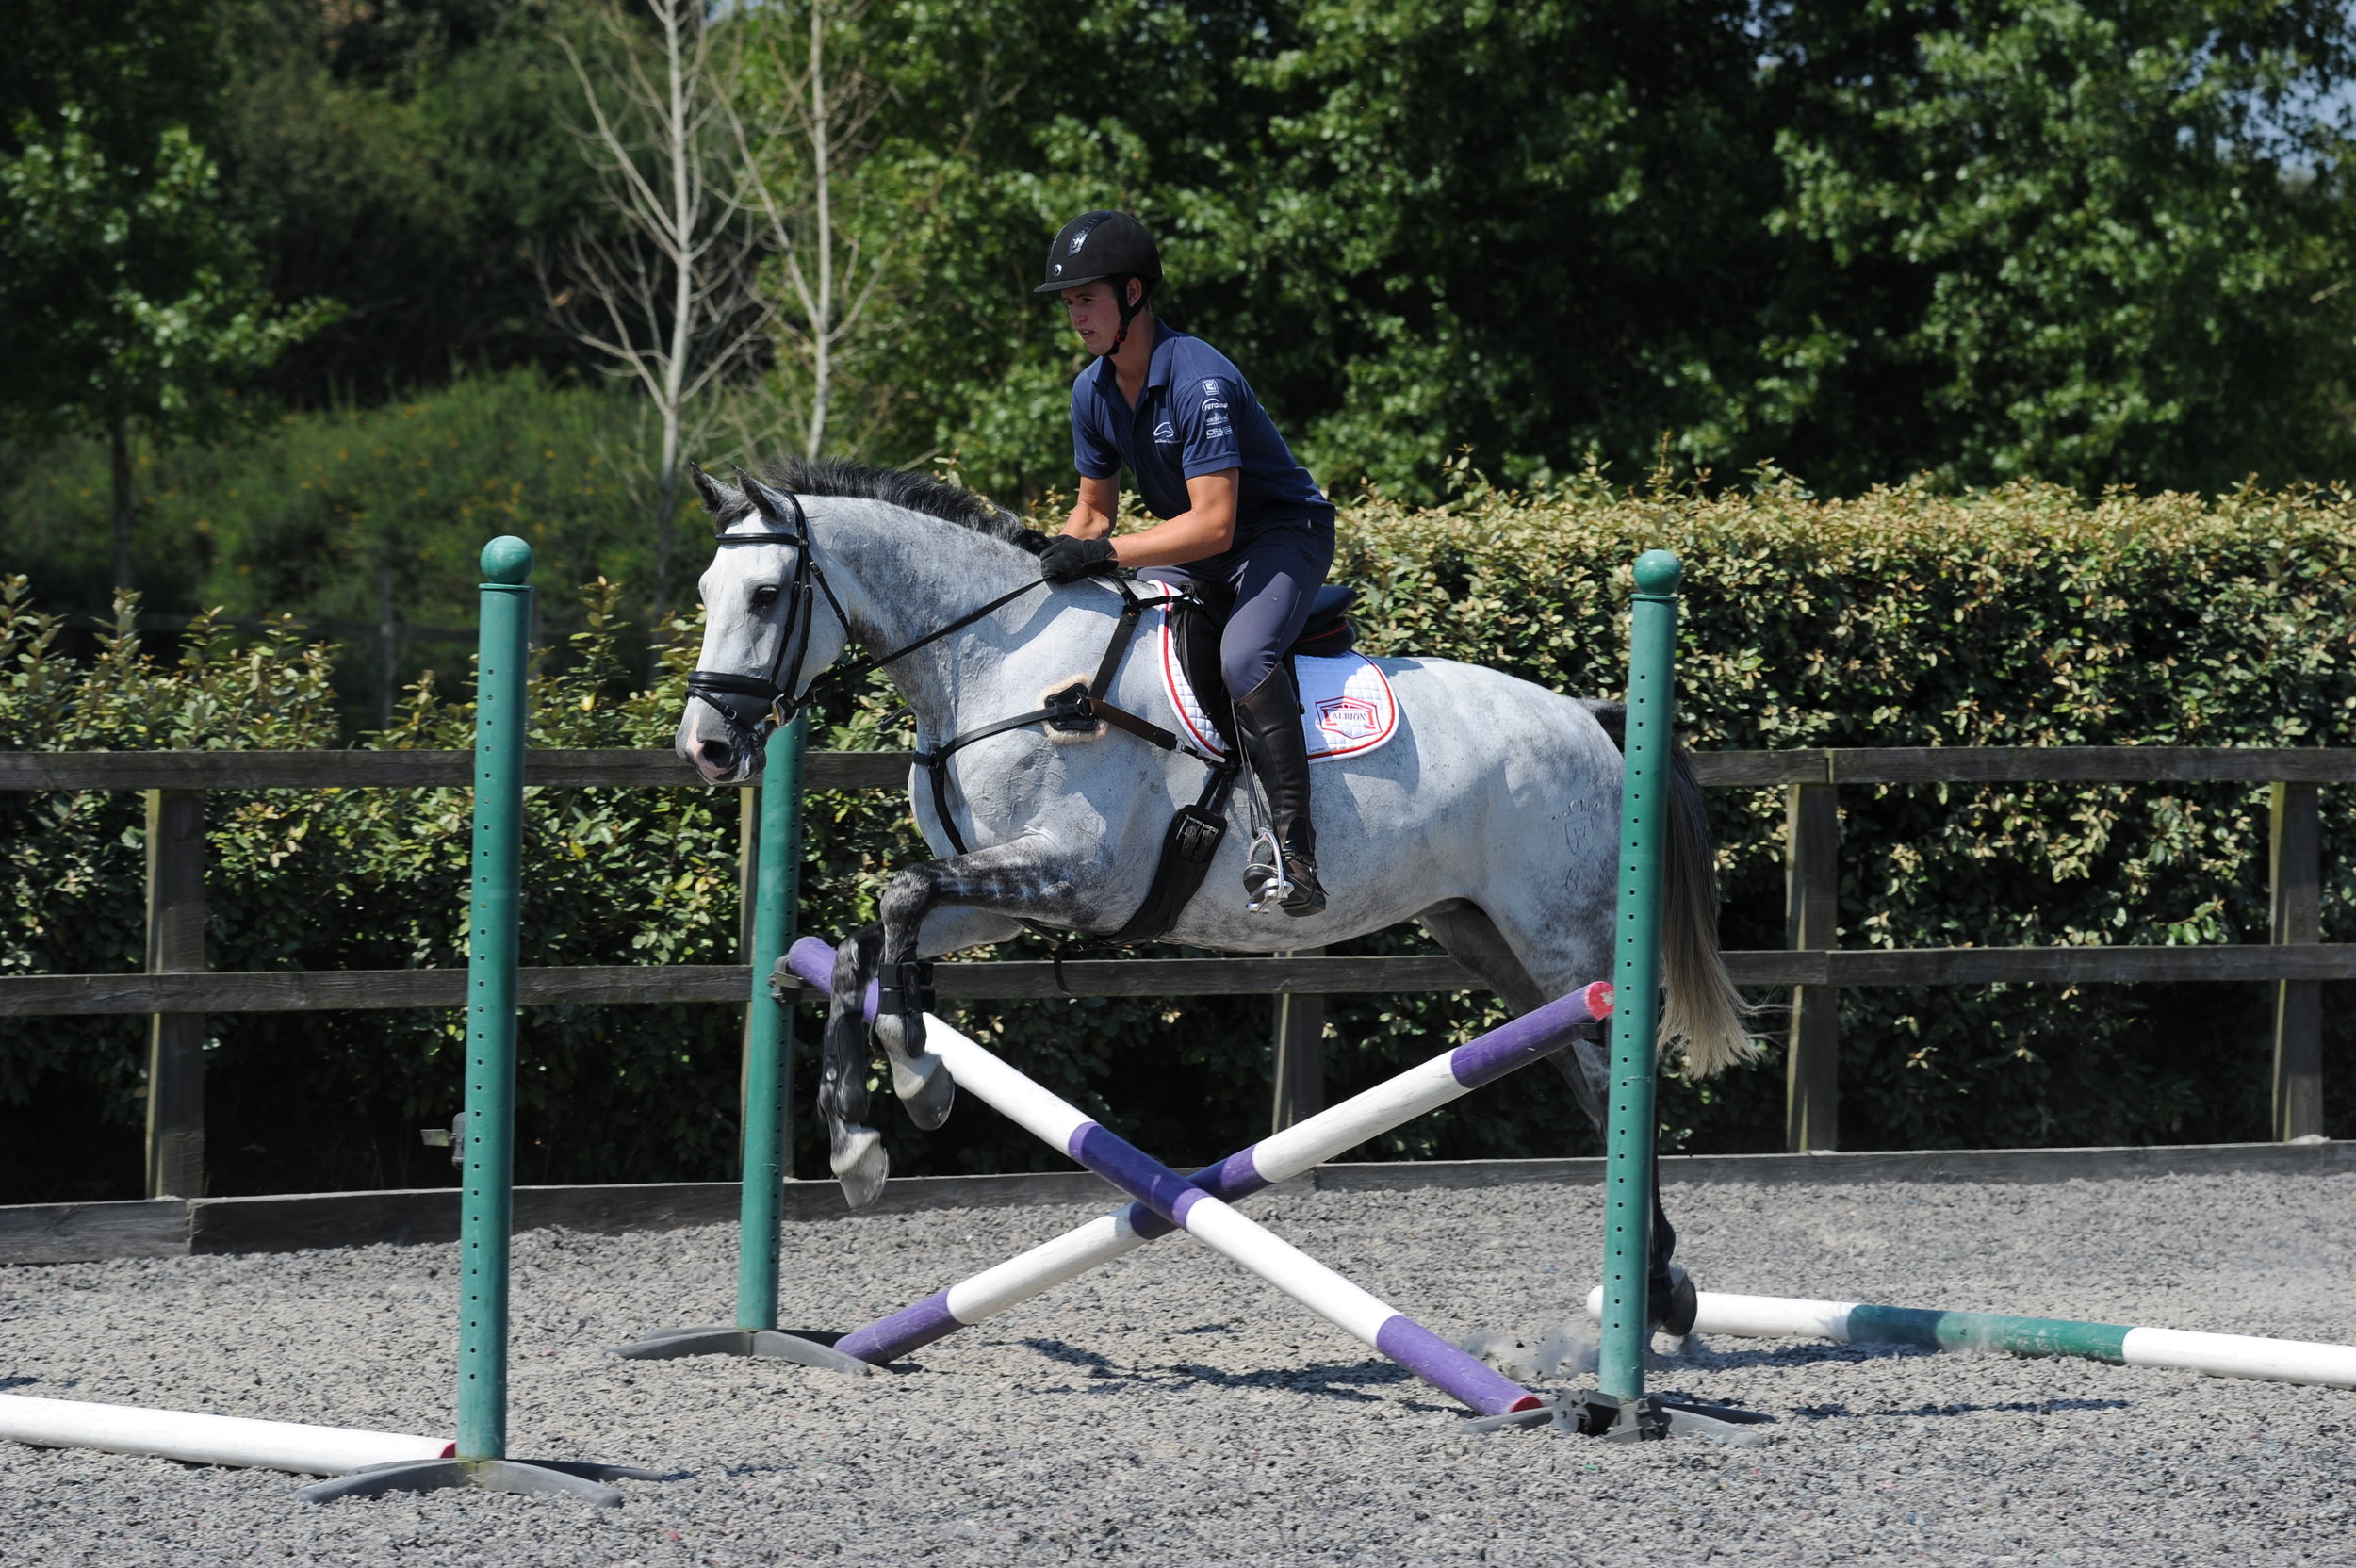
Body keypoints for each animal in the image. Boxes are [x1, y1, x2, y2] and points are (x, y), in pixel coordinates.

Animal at [674, 457, 1753, 1330]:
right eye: (705, 590)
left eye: (765, 594)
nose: (707, 748)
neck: (997, 664)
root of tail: (1589, 716)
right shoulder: (1001, 896)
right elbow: (865, 945)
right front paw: (860, 1137)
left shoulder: (1076, 875)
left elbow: (897, 897)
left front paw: (916, 1080)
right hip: (1489, 938)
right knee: (1579, 1070)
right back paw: (1657, 1285)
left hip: (1564, 937)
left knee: (1613, 1077)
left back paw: (1654, 1293)